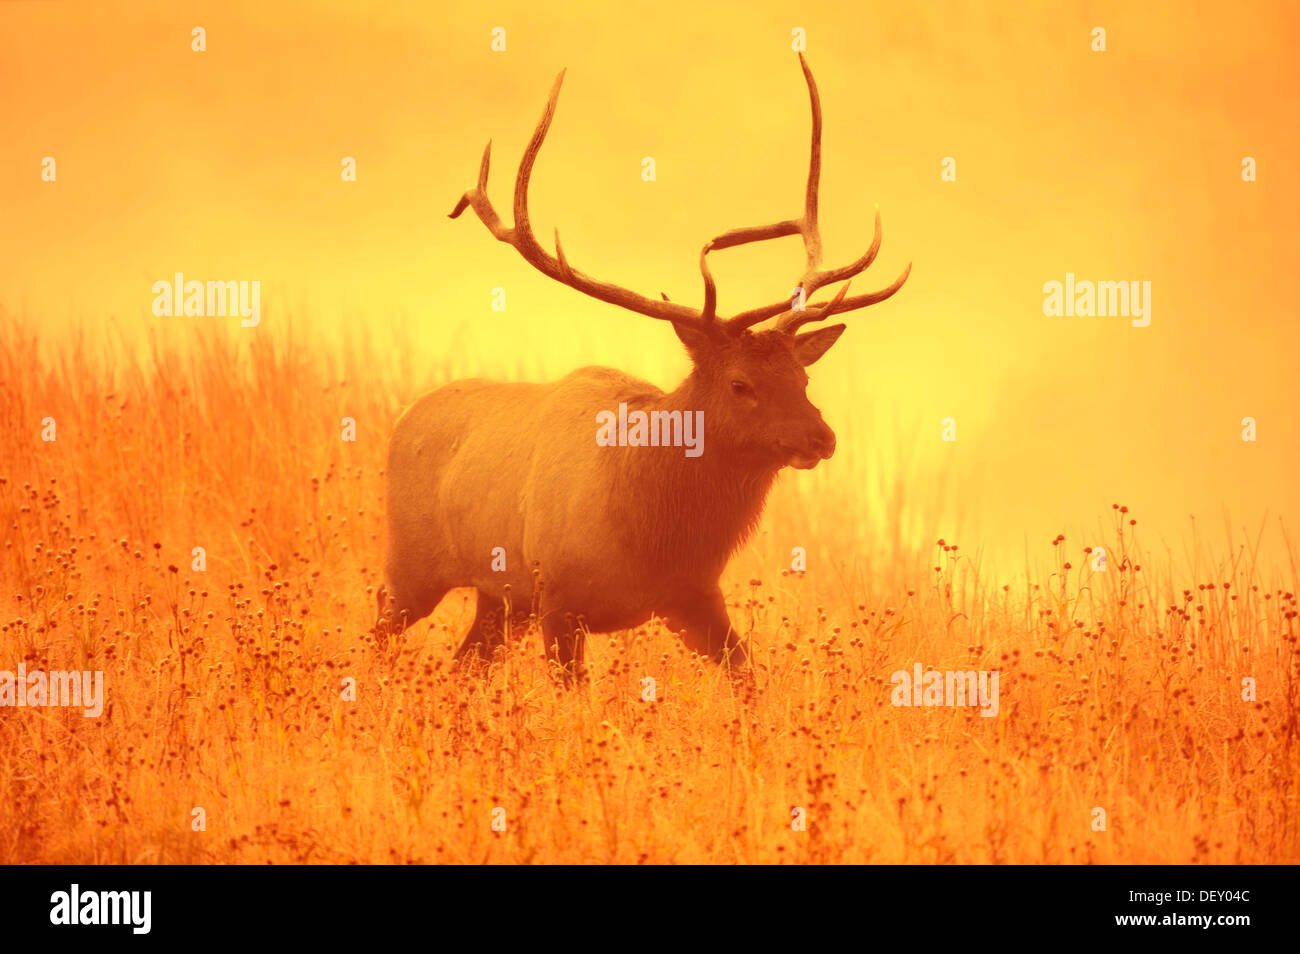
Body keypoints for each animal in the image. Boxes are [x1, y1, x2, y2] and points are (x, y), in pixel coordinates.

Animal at [377, 54, 909, 680]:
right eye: (740, 383)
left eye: (802, 378)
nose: (821, 438)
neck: (649, 533)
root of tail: (403, 416)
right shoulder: (557, 599)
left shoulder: (694, 596)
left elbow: (749, 679)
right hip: (414, 564)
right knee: (380, 626)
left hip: (498, 599)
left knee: (466, 663)